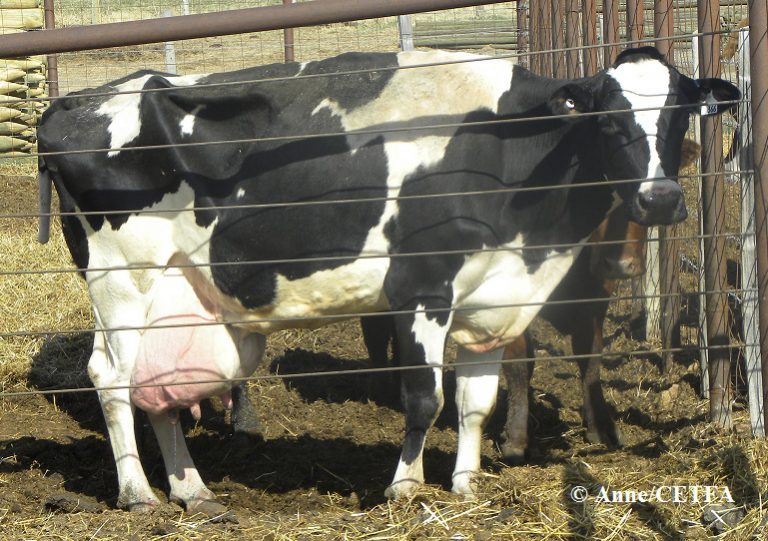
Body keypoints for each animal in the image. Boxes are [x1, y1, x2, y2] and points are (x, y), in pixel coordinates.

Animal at [37, 46, 738, 515]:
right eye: (608, 119)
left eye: (679, 116)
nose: (659, 199)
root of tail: (76, 102)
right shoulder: (423, 289)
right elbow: (425, 398)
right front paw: (404, 487)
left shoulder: (488, 299)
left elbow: (475, 404)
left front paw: (465, 486)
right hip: (120, 279)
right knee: (111, 378)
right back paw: (137, 493)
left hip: (184, 295)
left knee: (159, 390)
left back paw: (194, 490)